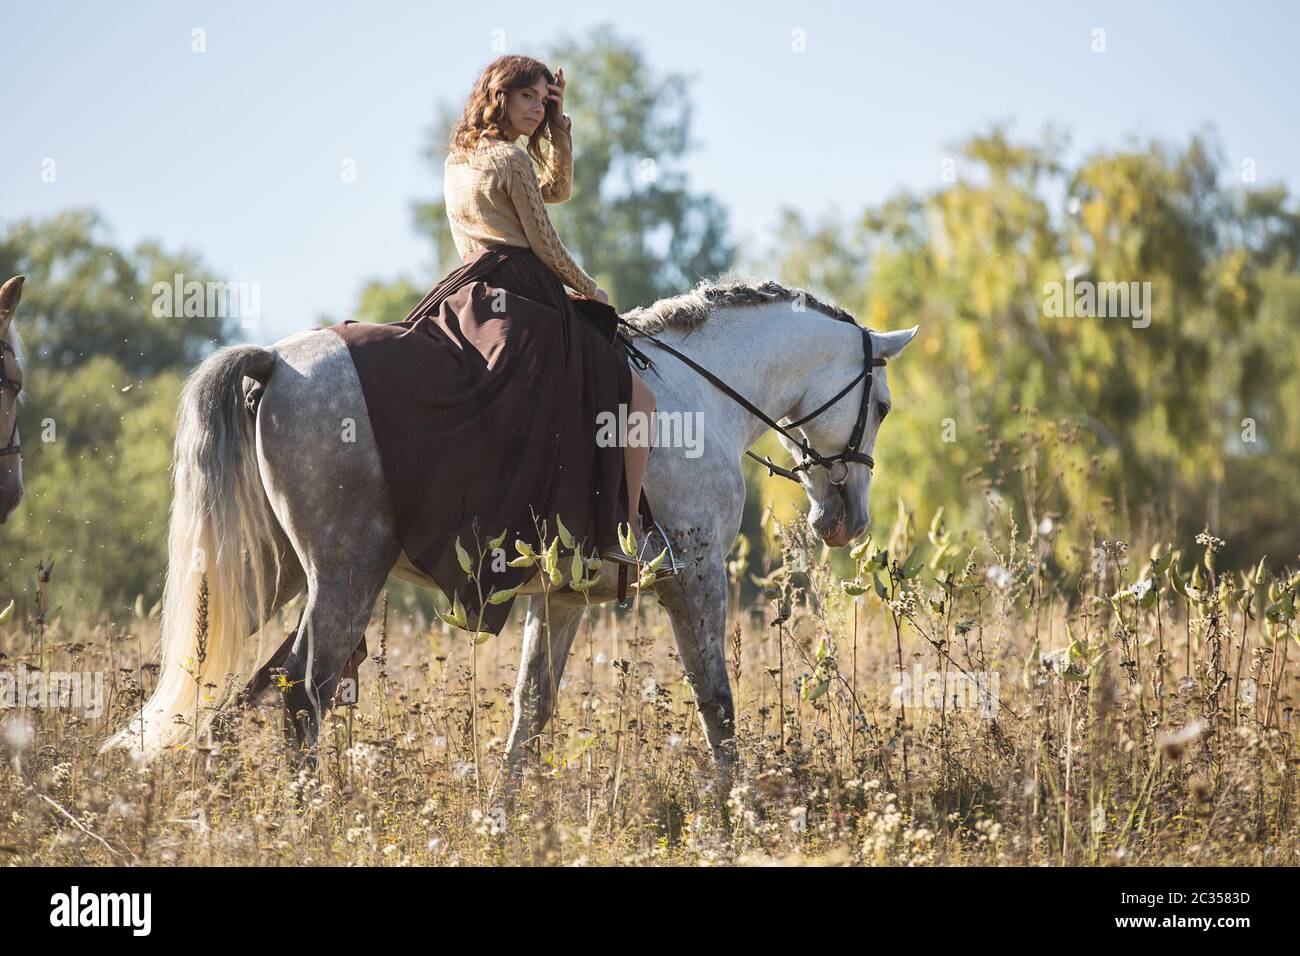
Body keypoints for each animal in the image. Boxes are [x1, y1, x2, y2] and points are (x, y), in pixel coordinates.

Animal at [99, 276, 918, 797]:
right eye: (880, 405)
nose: (844, 522)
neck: (701, 395)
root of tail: (274, 362)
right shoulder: (694, 575)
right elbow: (715, 700)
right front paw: (739, 813)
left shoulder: (562, 597)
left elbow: (532, 709)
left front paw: (501, 816)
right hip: (346, 575)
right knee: (302, 691)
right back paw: (308, 817)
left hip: (274, 575)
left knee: (232, 686)